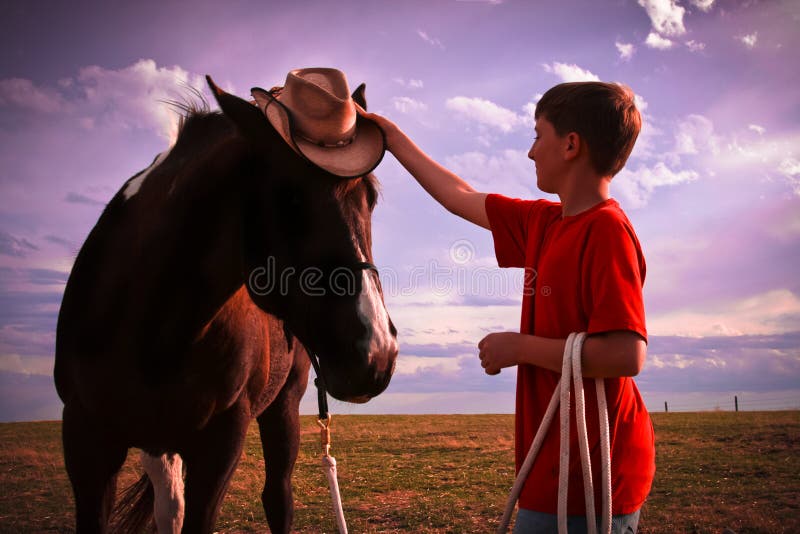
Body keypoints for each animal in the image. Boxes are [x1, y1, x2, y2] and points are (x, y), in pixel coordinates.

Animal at [54, 76, 399, 533]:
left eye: (371, 197)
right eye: (288, 195)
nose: (377, 353)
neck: (149, 325)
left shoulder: (220, 443)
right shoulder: (84, 440)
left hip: (282, 407)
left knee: (277, 497)